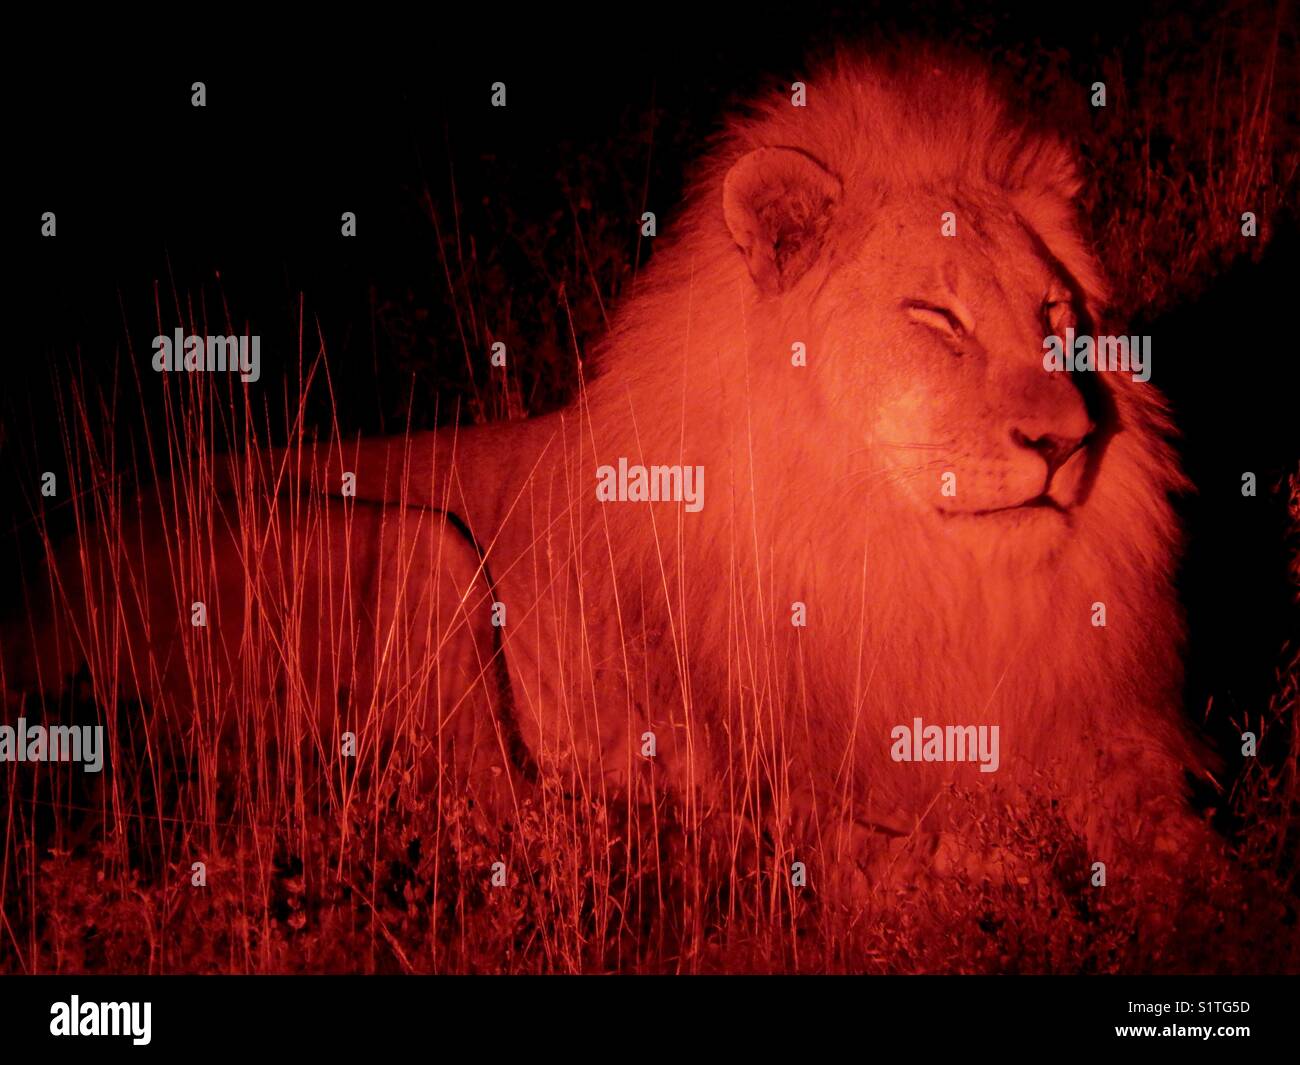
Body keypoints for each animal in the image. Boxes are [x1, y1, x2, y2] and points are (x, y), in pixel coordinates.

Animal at [5, 49, 1216, 896]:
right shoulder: (790, 760)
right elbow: (907, 847)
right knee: (500, 817)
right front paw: (1010, 871)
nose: (1067, 443)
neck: (926, 570)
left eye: (1057, 321)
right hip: (413, 548)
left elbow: (1157, 810)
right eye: (935, 319)